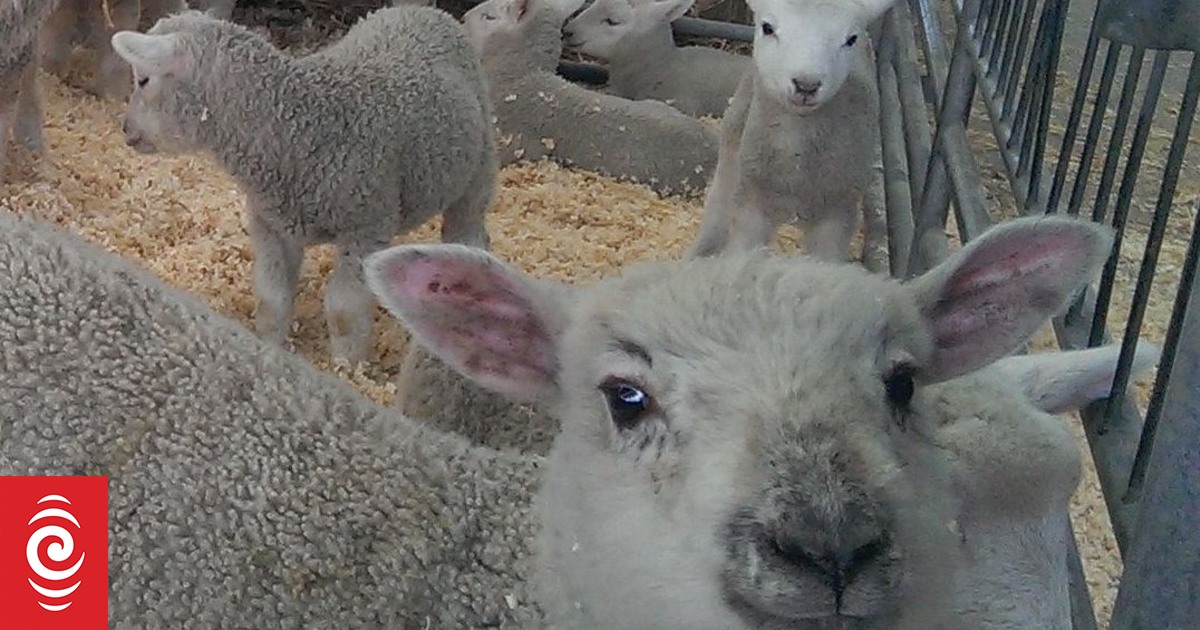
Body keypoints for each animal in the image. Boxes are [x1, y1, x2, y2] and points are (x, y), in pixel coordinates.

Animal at [108, 6, 498, 364]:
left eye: (143, 79)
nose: (127, 132)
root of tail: (423, 10)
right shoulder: (273, 226)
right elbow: (272, 300)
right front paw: (270, 350)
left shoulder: (366, 228)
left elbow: (344, 311)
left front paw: (347, 369)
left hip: (479, 166)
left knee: (468, 229)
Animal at [688, 0, 891, 273]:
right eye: (767, 28)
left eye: (851, 39)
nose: (806, 85)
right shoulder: (753, 203)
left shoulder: (838, 211)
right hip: (735, 135)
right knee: (718, 204)